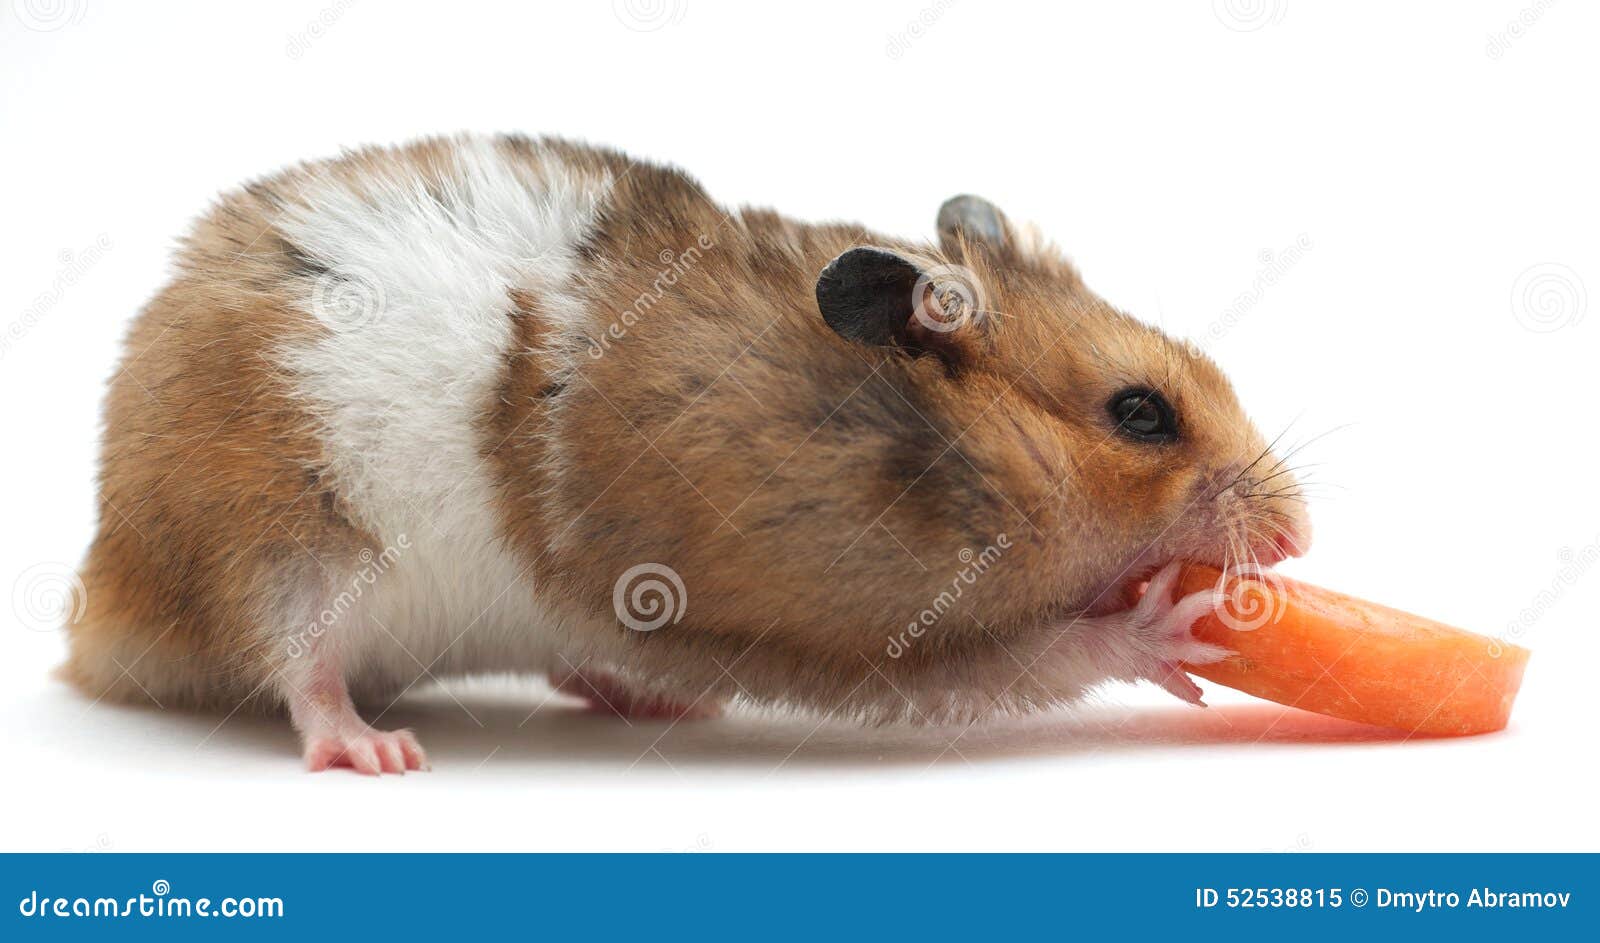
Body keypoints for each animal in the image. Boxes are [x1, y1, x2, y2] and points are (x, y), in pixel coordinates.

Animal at [62, 134, 1311, 774]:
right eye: (1140, 413)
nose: (1299, 539)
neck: (930, 443)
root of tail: (101, 617)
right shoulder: (815, 620)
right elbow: (1029, 659)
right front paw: (1173, 620)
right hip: (285, 540)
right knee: (299, 664)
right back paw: (374, 750)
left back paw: (652, 706)